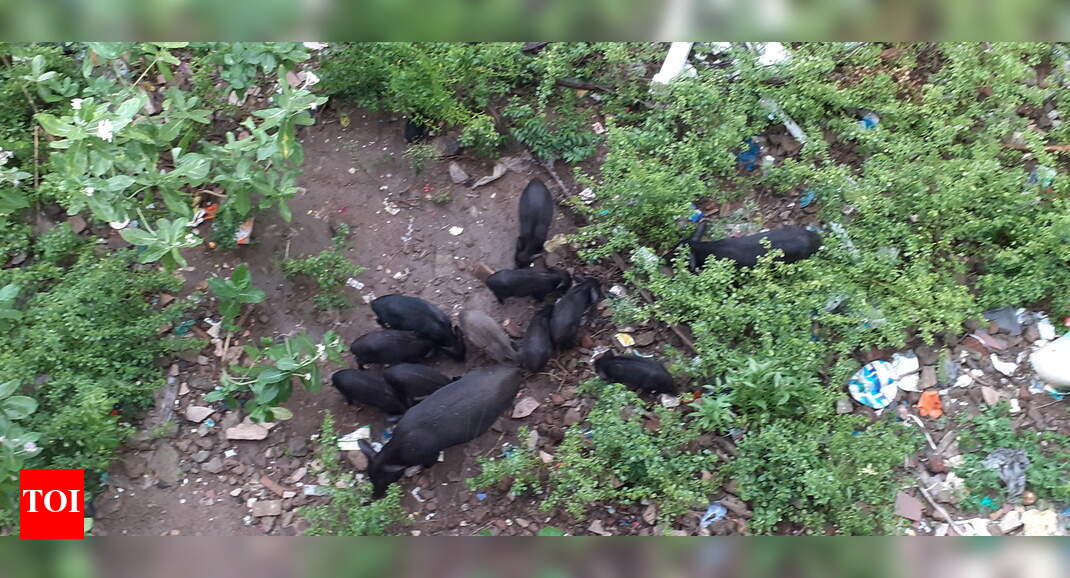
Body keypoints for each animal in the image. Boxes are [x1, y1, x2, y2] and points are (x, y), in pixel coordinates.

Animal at [359, 366, 523, 498]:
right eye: (370, 477)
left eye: (385, 479)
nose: (375, 497)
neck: (398, 452)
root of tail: (515, 370)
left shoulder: (431, 454)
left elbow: (427, 465)